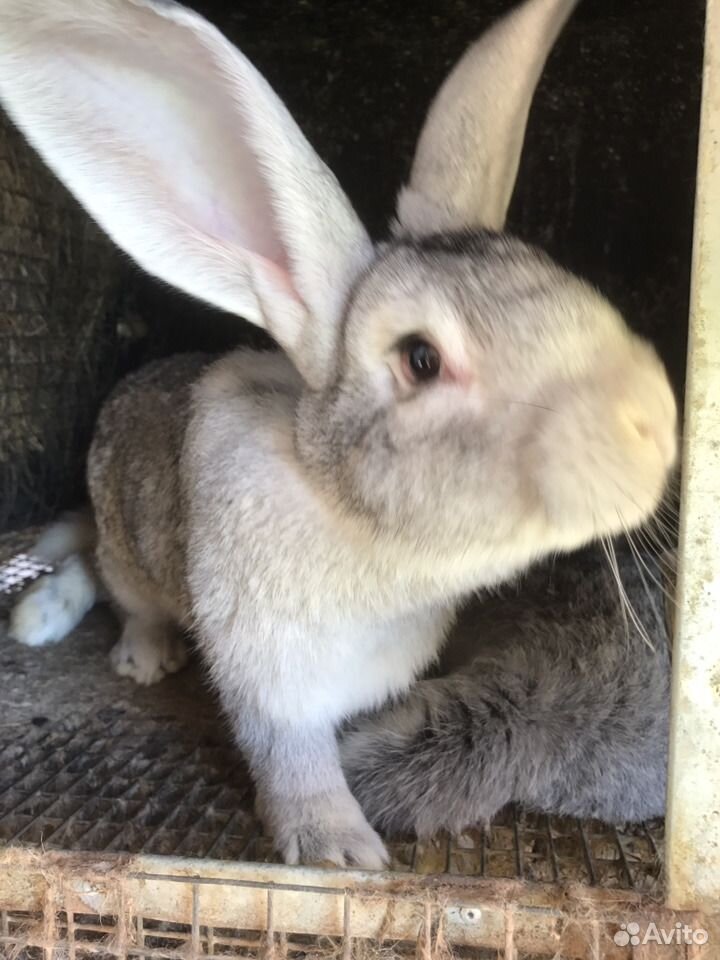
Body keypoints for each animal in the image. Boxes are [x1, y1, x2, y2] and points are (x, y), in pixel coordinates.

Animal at [0, 0, 678, 869]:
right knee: (116, 584)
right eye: (420, 358)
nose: (656, 419)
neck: (358, 523)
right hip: (129, 549)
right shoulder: (271, 678)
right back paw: (135, 653)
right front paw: (340, 850)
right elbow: (294, 763)